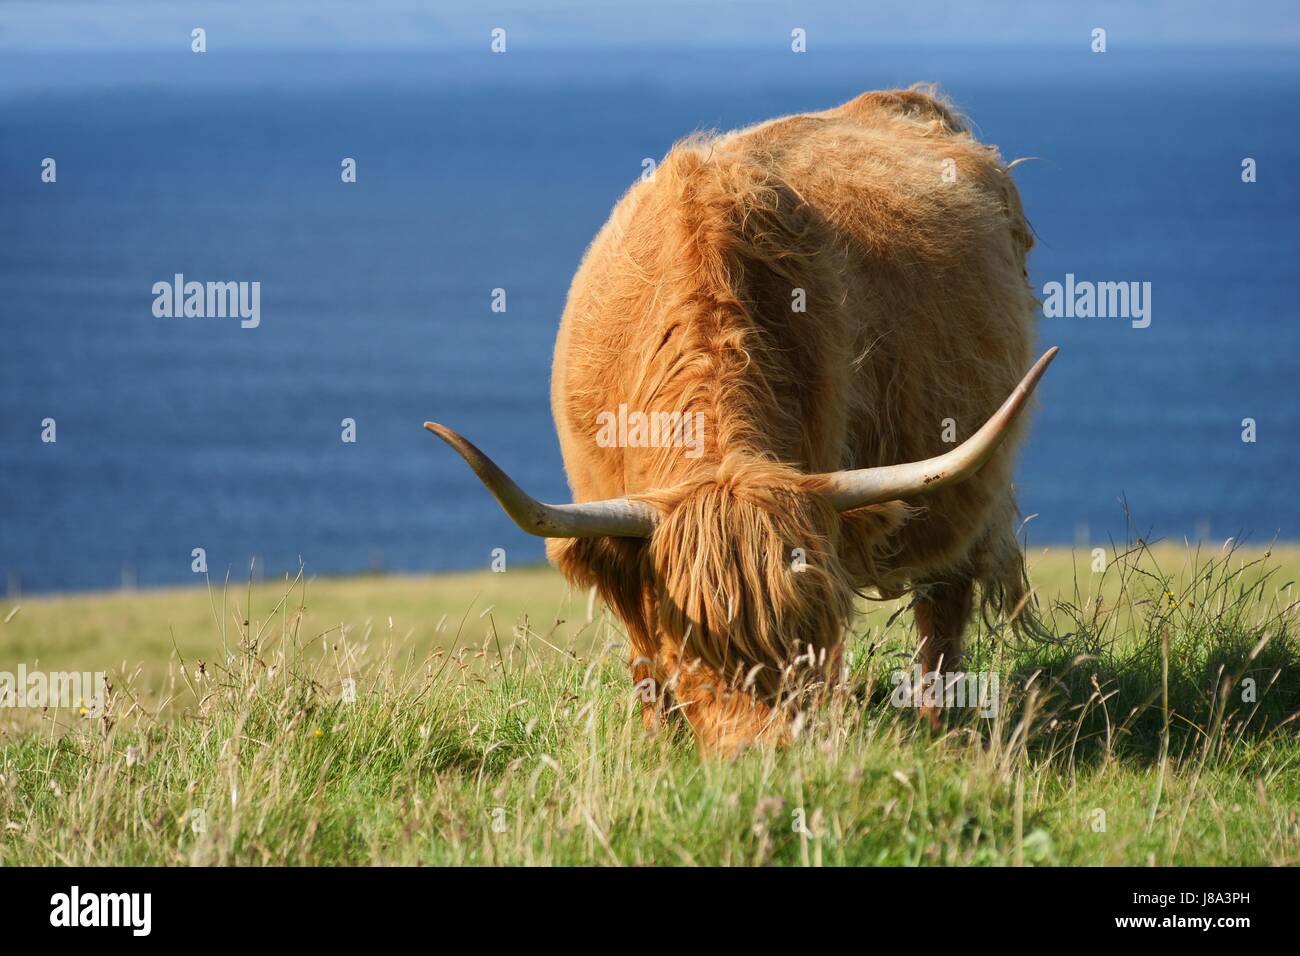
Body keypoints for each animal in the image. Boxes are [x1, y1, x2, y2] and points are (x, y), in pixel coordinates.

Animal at [426, 86, 1056, 754]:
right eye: (692, 646)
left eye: (814, 638)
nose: (762, 753)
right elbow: (645, 659)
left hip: (971, 493)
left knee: (944, 611)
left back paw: (942, 733)